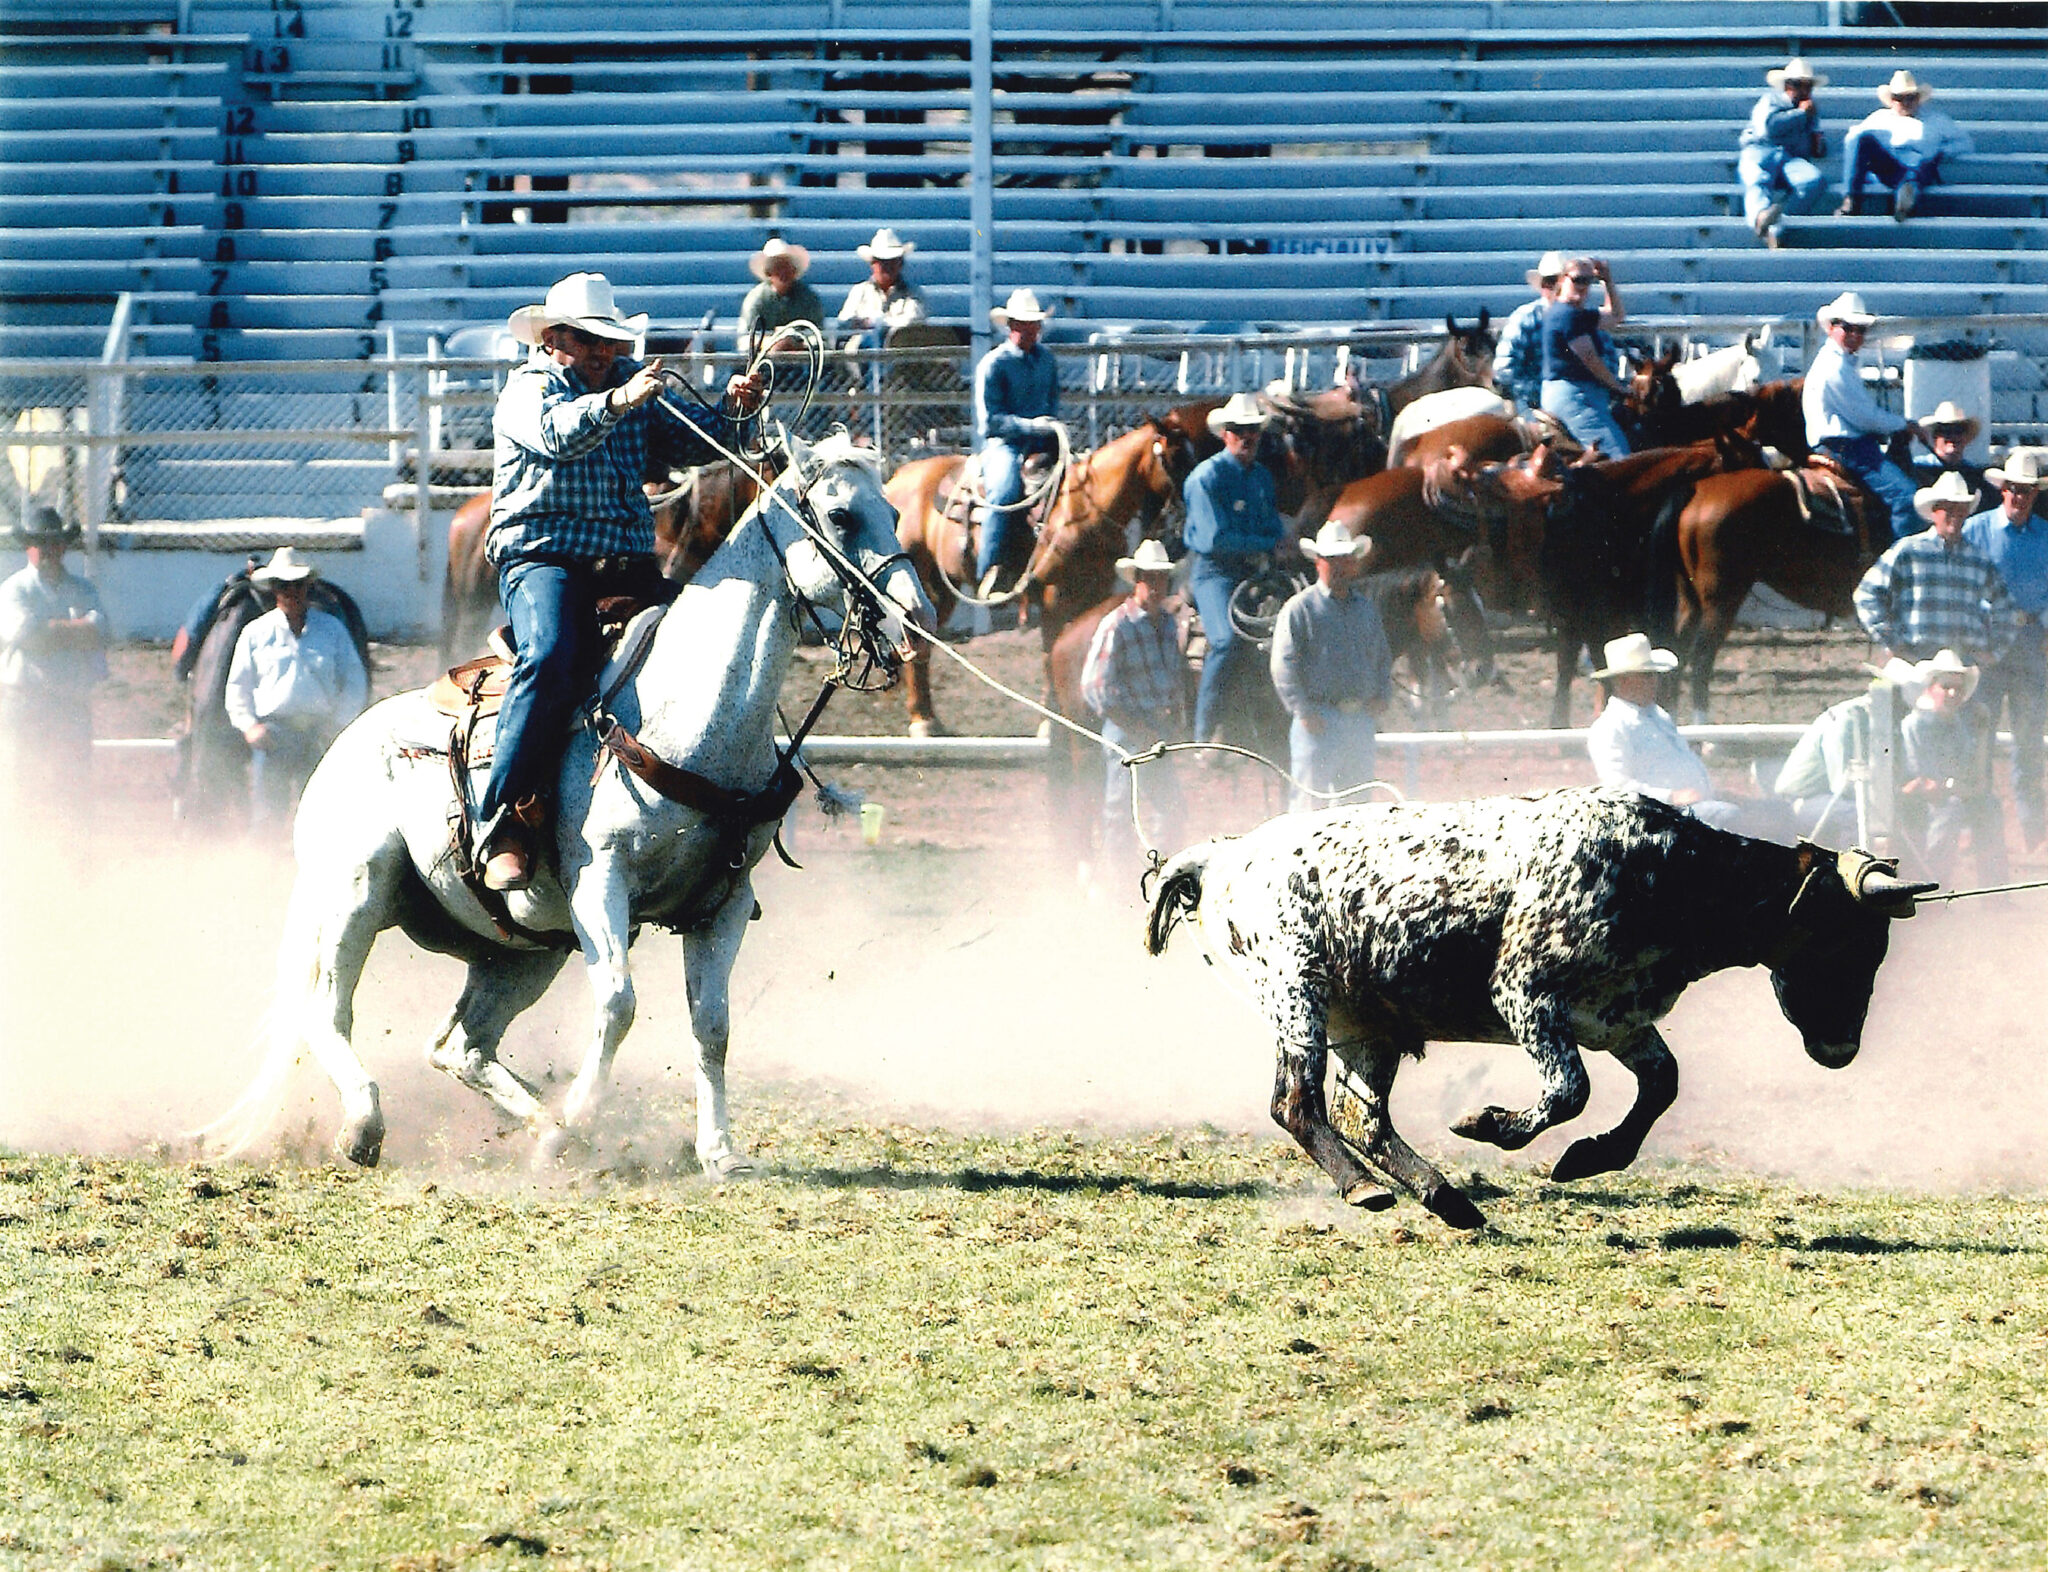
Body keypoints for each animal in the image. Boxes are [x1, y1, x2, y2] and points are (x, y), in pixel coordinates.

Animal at [199, 431, 934, 1174]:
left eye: (895, 514)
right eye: (840, 515)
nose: (916, 618)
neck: (687, 714)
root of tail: (343, 745)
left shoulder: (722, 903)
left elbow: (713, 1026)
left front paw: (718, 1152)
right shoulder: (599, 882)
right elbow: (618, 1004)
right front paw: (580, 1118)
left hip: (523, 947)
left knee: (460, 1047)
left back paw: (549, 1126)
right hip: (356, 892)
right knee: (327, 1012)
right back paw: (369, 1122)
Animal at [885, 417, 1194, 735]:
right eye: (1173, 458)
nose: (1187, 521)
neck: (1085, 508)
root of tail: (899, 476)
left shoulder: (1094, 595)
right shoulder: (1053, 598)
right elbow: (1049, 657)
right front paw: (1051, 724)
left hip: (939, 587)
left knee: (923, 643)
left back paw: (927, 718)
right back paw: (922, 721)